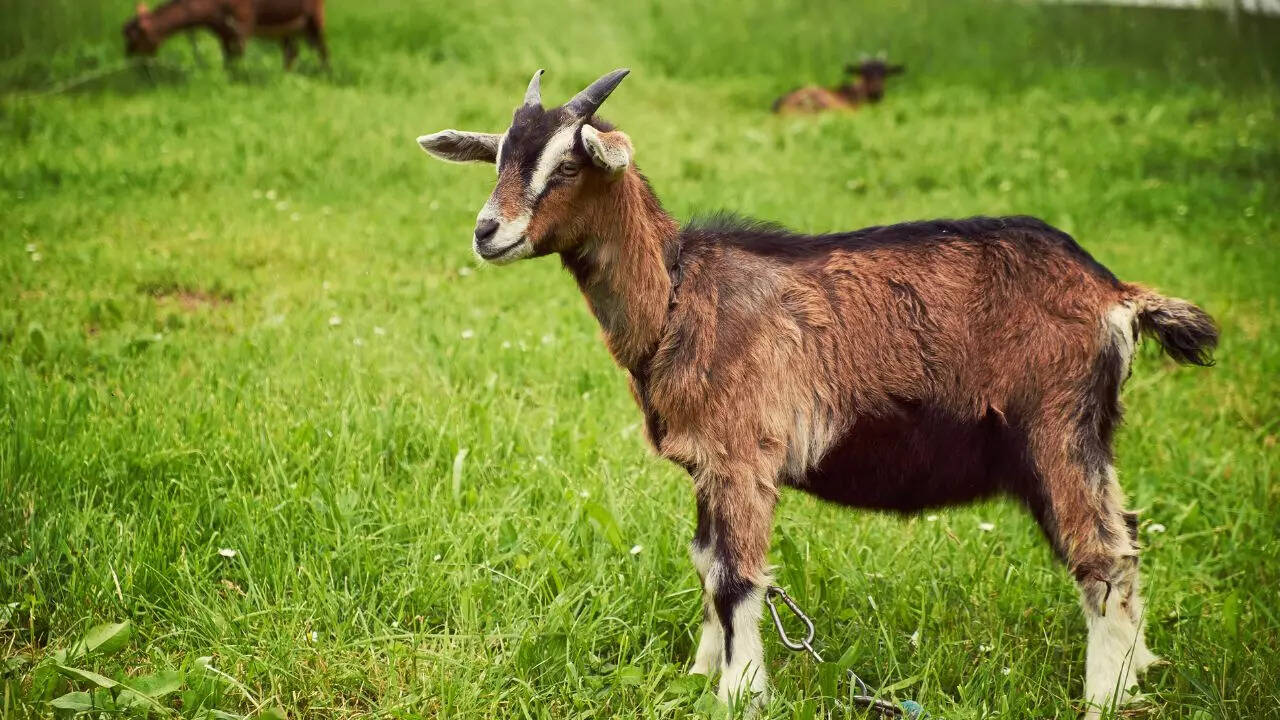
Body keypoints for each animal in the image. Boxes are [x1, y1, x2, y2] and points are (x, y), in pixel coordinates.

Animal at [123, 0, 328, 70]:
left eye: (135, 37)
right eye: (124, 32)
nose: (128, 55)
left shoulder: (243, 26)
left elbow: (237, 58)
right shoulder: (223, 32)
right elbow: (227, 60)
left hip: (315, 17)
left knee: (322, 49)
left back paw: (326, 75)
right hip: (287, 29)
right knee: (291, 52)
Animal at [415, 69, 1218, 718]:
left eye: (568, 163)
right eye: (499, 157)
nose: (488, 232)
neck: (679, 294)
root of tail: (1114, 293)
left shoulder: (744, 455)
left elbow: (737, 578)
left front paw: (739, 695)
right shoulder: (707, 463)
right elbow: (705, 563)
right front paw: (700, 673)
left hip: (1056, 429)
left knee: (1103, 558)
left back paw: (1103, 698)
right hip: (1087, 436)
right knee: (1126, 544)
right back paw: (1135, 678)